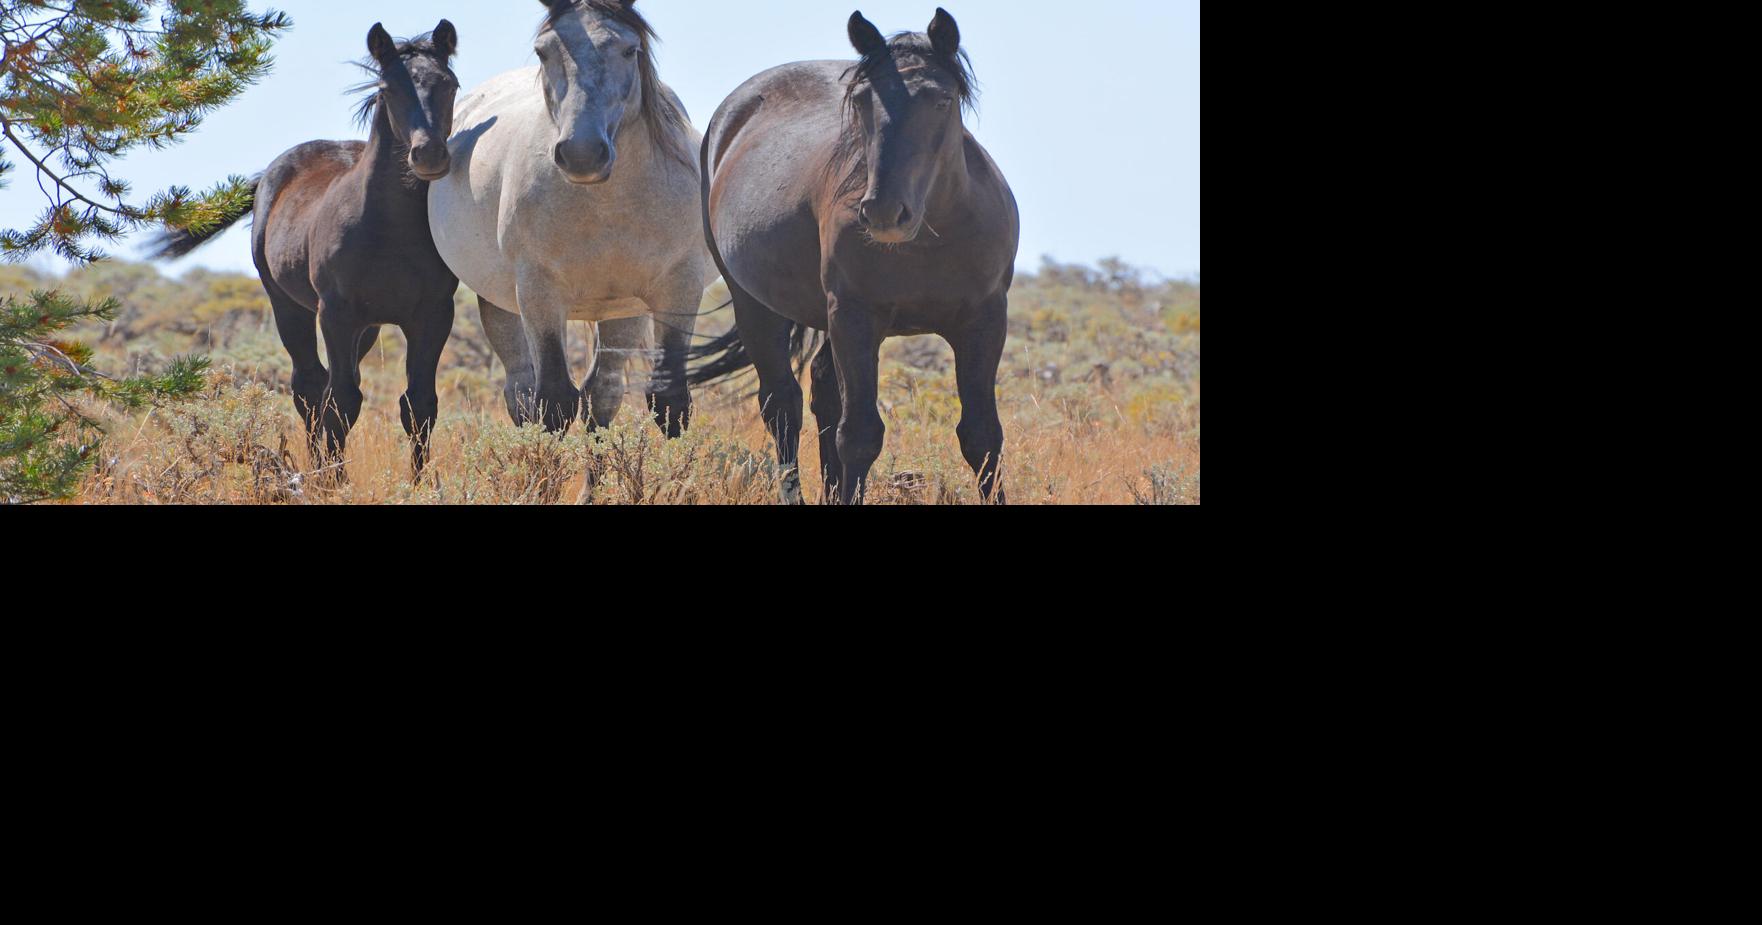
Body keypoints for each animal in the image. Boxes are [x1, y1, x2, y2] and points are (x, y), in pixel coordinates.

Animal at [152, 21, 463, 478]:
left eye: (450, 84)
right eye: (387, 88)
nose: (428, 155)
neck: (389, 230)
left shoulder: (432, 315)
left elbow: (419, 406)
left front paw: (419, 484)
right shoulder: (335, 313)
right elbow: (342, 402)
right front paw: (334, 480)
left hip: (366, 328)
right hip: (290, 306)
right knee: (311, 386)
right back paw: (317, 468)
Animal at [428, 0, 715, 437]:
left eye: (629, 50)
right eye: (544, 51)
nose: (583, 153)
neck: (608, 204)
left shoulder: (680, 286)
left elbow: (669, 402)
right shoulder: (539, 291)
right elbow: (553, 402)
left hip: (623, 310)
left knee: (604, 390)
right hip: (500, 301)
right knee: (522, 391)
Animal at [685, 9, 1020, 505]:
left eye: (941, 100)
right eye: (862, 101)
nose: (884, 211)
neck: (929, 240)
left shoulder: (984, 320)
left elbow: (982, 437)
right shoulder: (855, 316)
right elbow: (860, 434)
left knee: (822, 390)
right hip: (757, 305)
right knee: (782, 405)